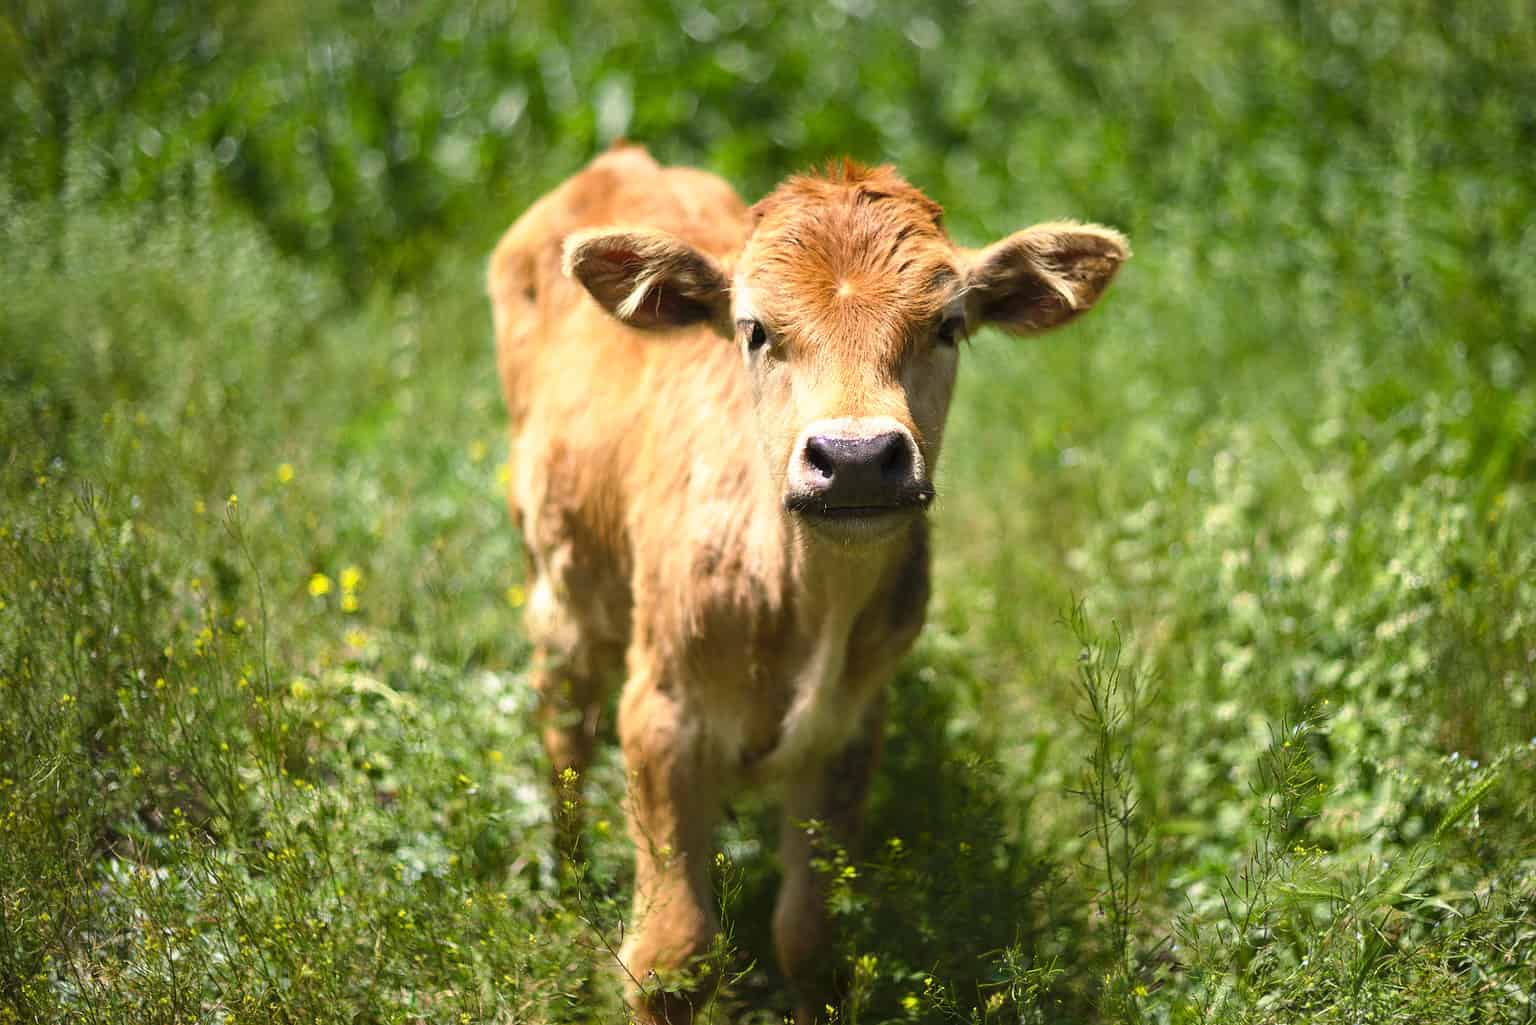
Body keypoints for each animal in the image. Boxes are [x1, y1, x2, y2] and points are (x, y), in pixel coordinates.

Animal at [487, 143, 1127, 1024]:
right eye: (755, 329)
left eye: (948, 324)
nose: (856, 457)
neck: (800, 601)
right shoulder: (662, 708)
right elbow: (672, 953)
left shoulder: (850, 723)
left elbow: (810, 937)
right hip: (556, 586)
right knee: (563, 729)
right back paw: (565, 870)